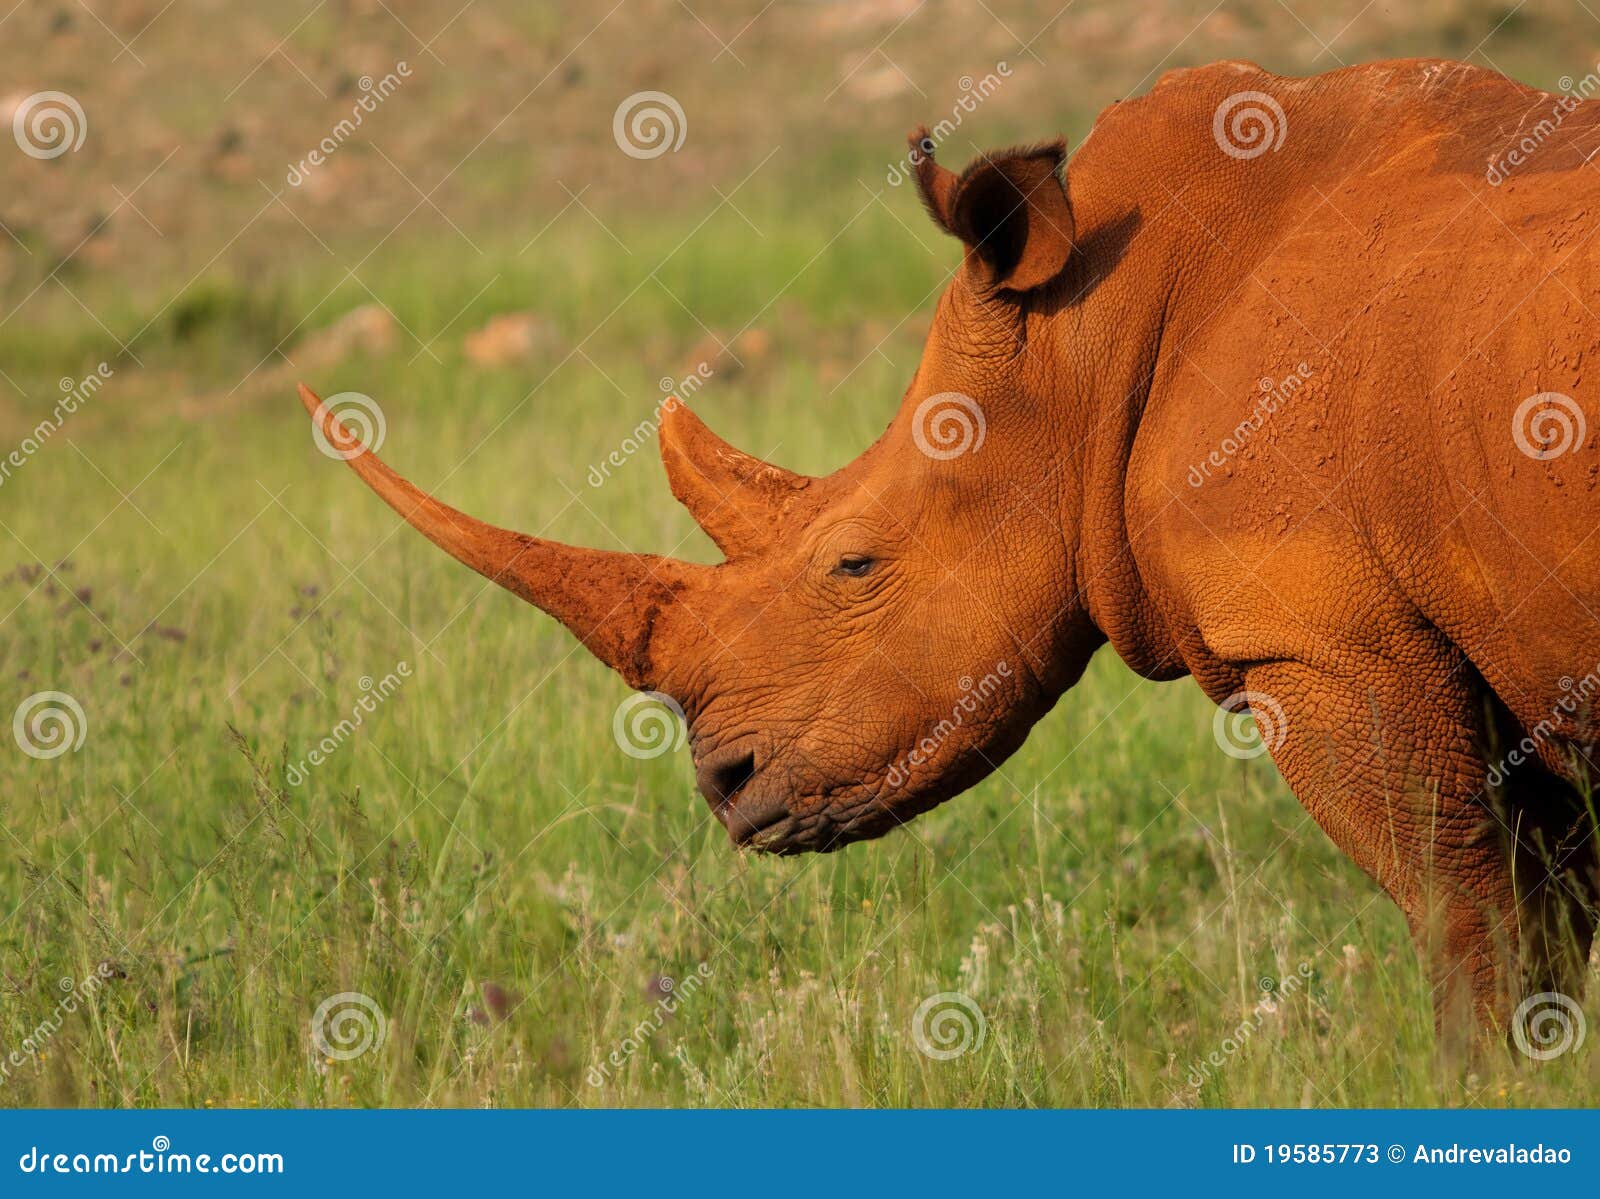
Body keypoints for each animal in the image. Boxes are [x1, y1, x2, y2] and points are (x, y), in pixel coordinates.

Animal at [299, 58, 1600, 1044]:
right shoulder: (1490, 630)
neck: (1083, 337)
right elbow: (1552, 920)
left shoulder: (1323, 640)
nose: (720, 783)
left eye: (854, 564)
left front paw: (1487, 1083)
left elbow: (1470, 920)